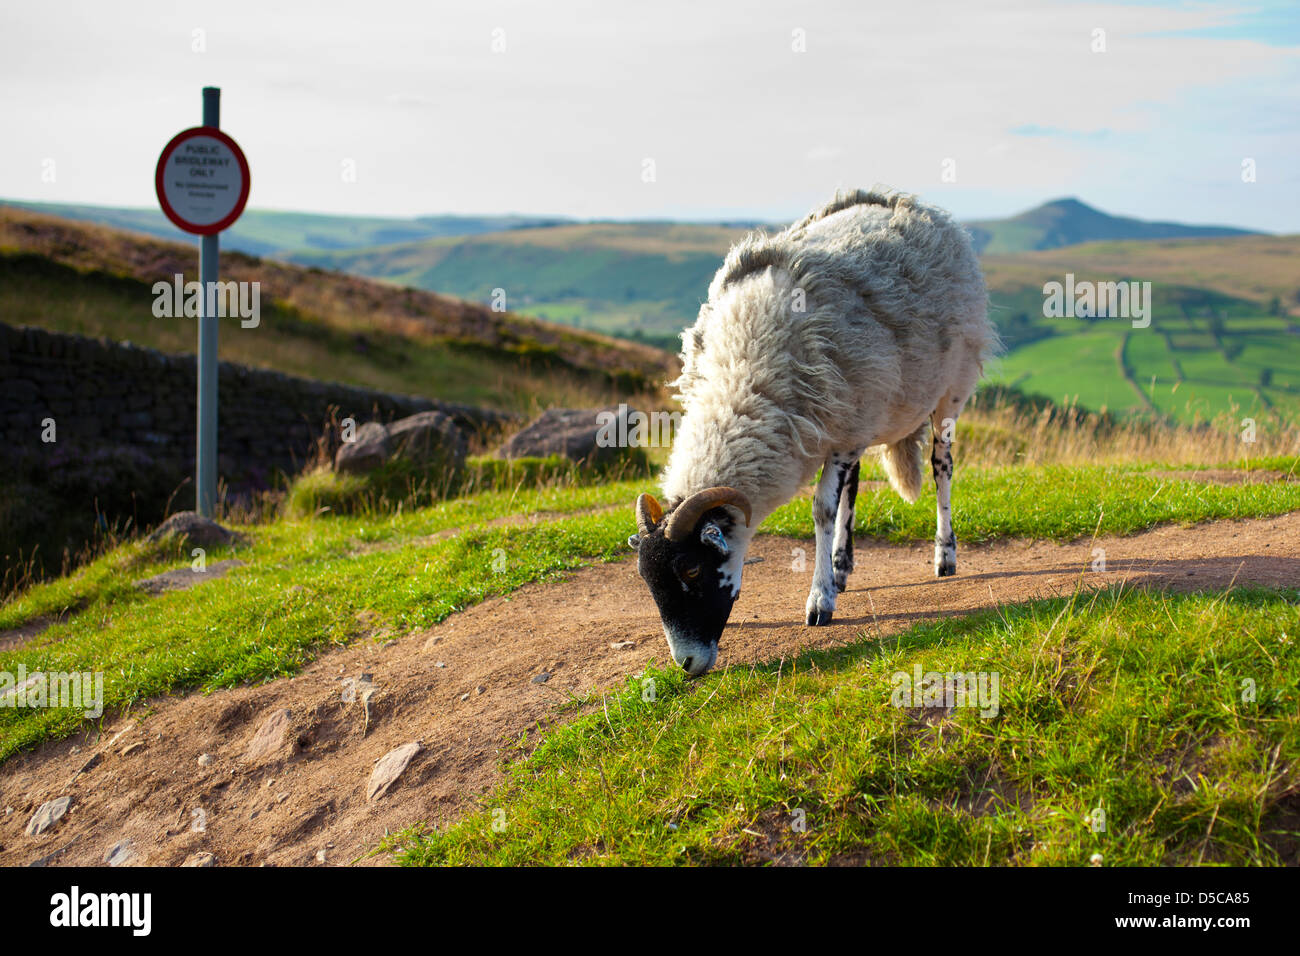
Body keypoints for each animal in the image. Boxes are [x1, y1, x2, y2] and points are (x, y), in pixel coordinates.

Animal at [627, 187, 998, 676]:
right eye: (645, 579)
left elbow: (822, 509)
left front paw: (819, 602)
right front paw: (830, 580)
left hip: (948, 390)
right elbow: (837, 501)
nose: (687, 663)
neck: (743, 379)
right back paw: (842, 564)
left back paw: (944, 555)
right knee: (855, 485)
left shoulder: (843, 432)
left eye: (691, 570)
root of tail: (923, 208)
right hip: (865, 412)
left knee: (942, 466)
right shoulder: (847, 427)